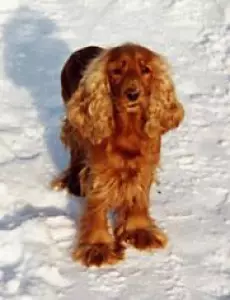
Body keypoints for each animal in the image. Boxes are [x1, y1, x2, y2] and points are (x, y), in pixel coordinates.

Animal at [51, 42, 184, 268]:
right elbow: (97, 205)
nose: (133, 94)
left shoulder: (145, 166)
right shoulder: (99, 172)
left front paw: (140, 231)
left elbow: (139, 198)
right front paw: (98, 247)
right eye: (116, 71)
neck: (129, 129)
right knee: (76, 154)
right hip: (75, 125)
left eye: (145, 70)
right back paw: (73, 183)